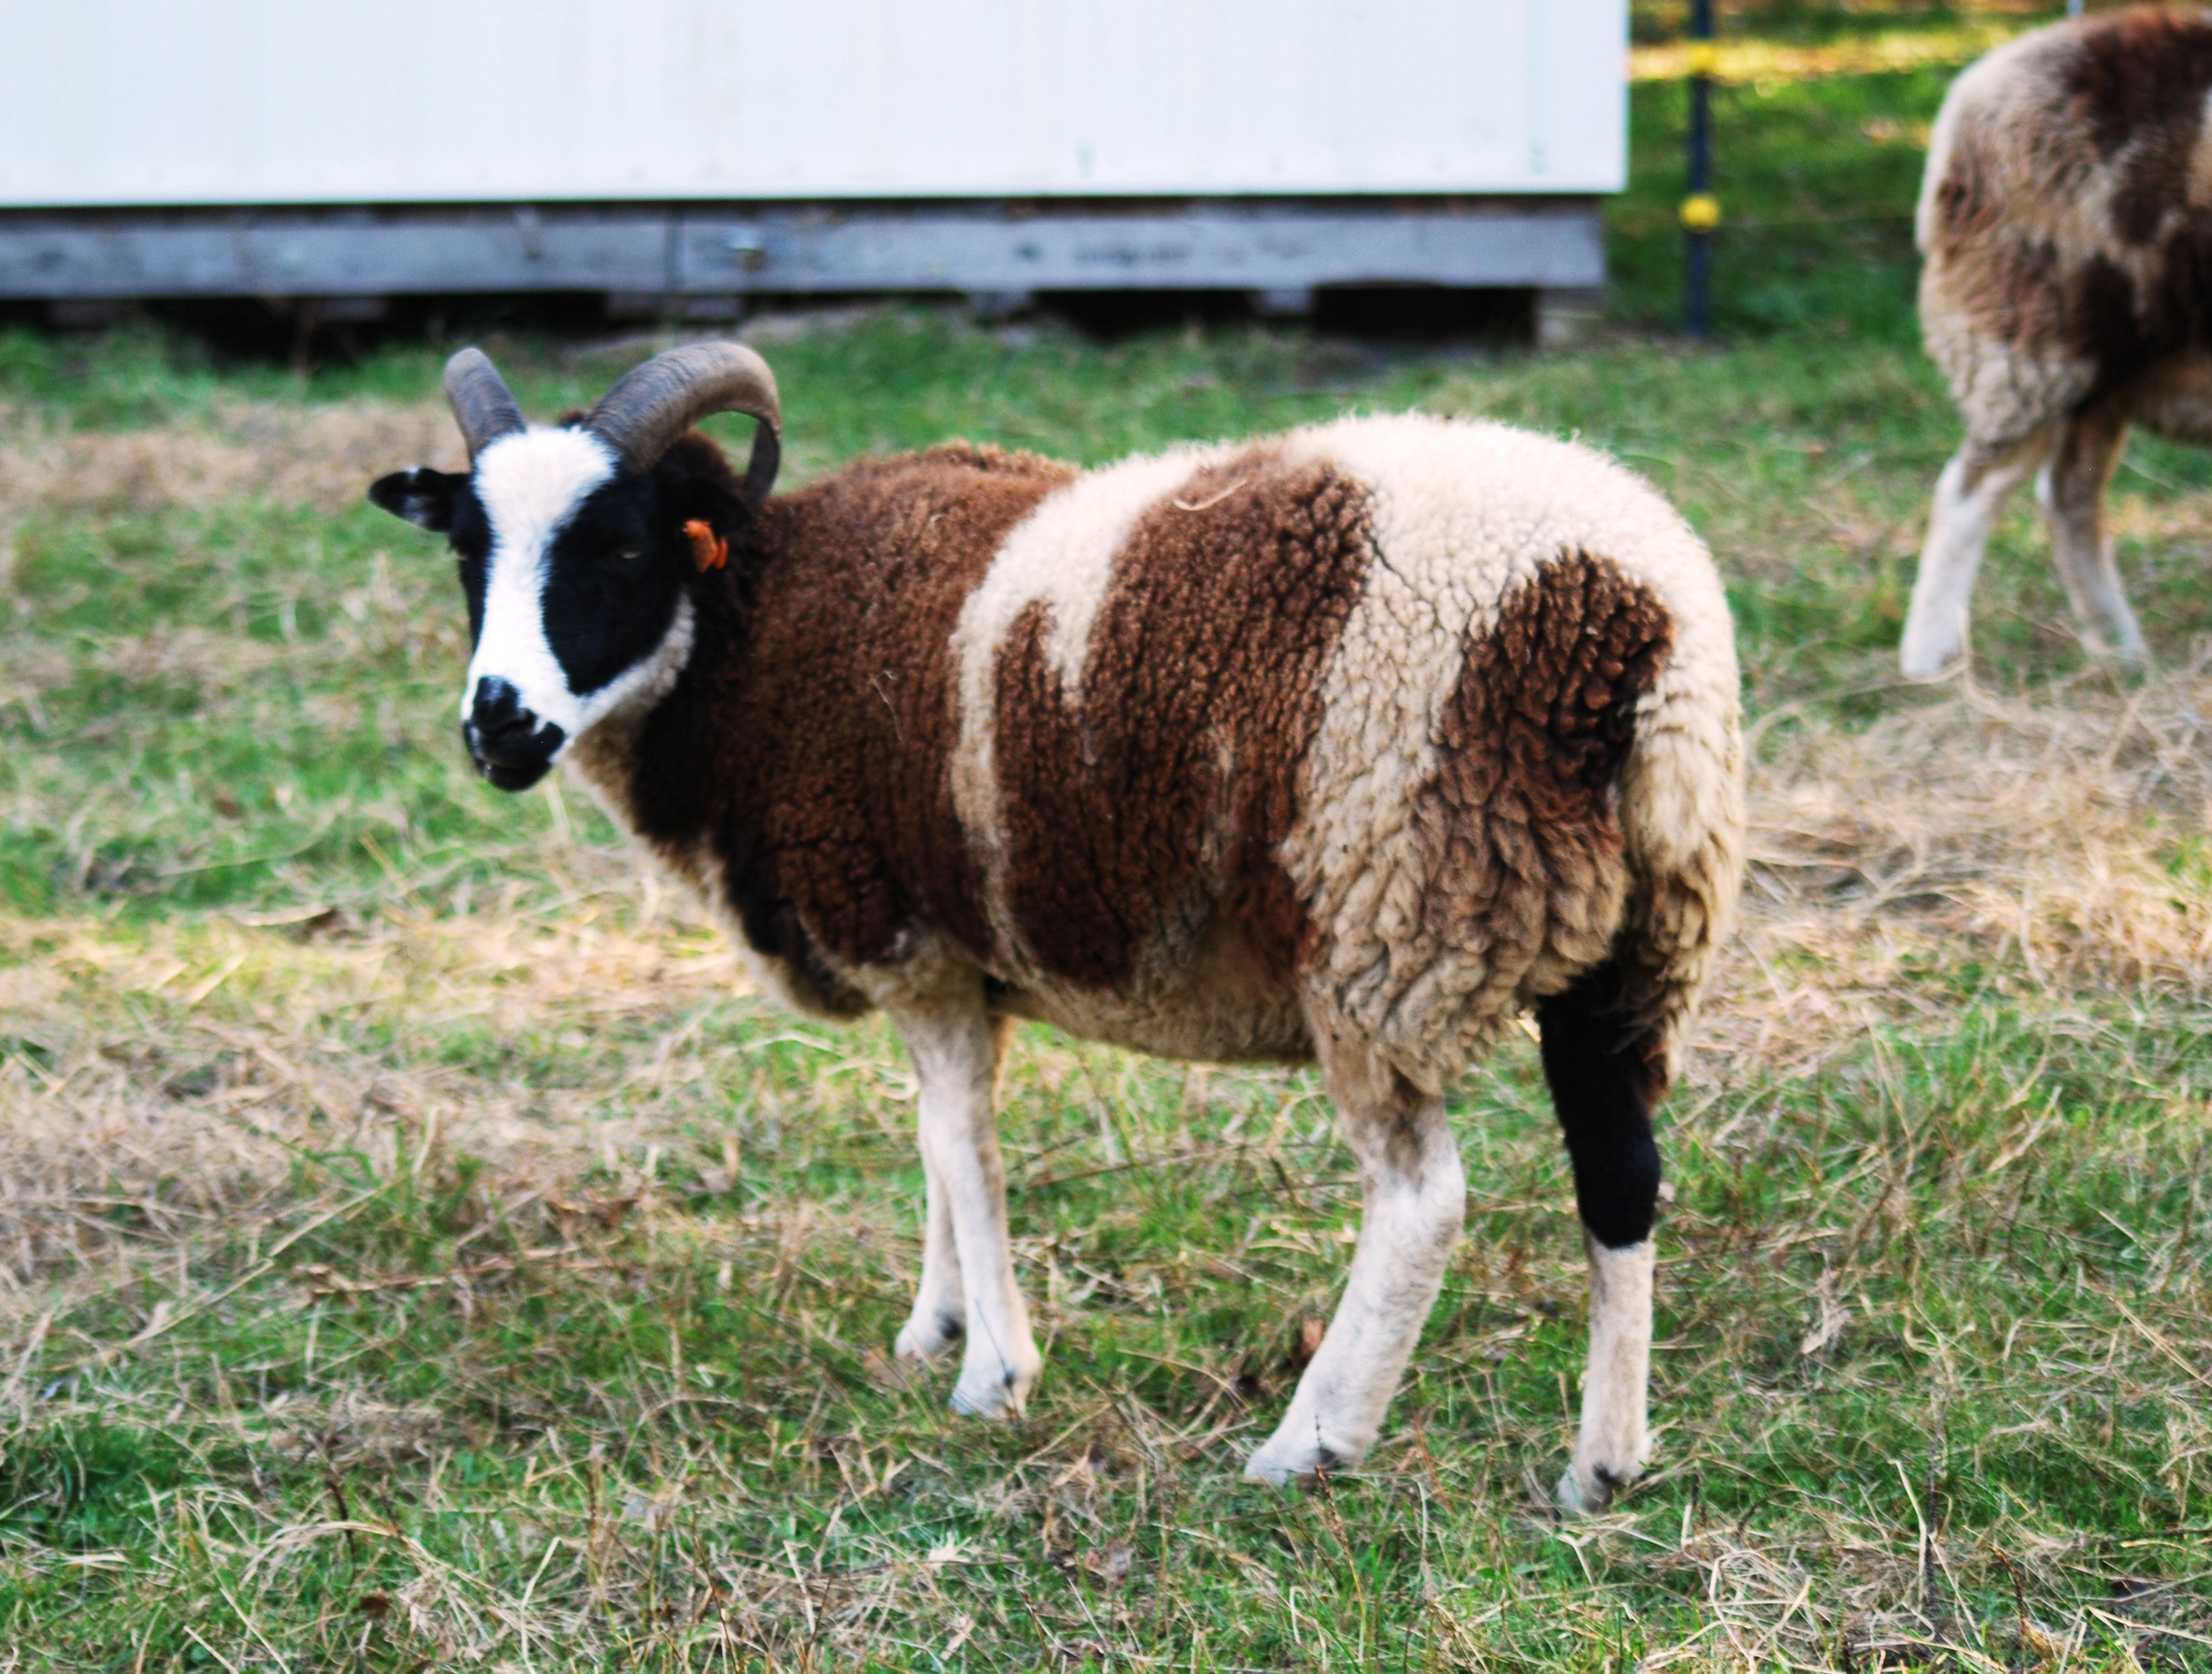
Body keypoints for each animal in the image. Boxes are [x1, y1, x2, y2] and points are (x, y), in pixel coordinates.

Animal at [366, 342, 1745, 1510]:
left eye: (617, 554)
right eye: (469, 558)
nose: (495, 724)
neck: (754, 641)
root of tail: (1626, 615)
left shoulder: (906, 938)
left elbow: (961, 1146)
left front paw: (993, 1374)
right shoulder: (954, 959)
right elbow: (934, 1139)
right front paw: (935, 1327)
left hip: (1384, 915)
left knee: (1422, 1202)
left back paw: (1308, 1442)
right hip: (1634, 940)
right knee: (1620, 1173)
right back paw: (1602, 1468)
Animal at [1905, 5, 2212, 678]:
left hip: (2106, 373)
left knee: (2068, 495)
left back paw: (2120, 650)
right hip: (2037, 335)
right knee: (1970, 490)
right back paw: (1928, 656)